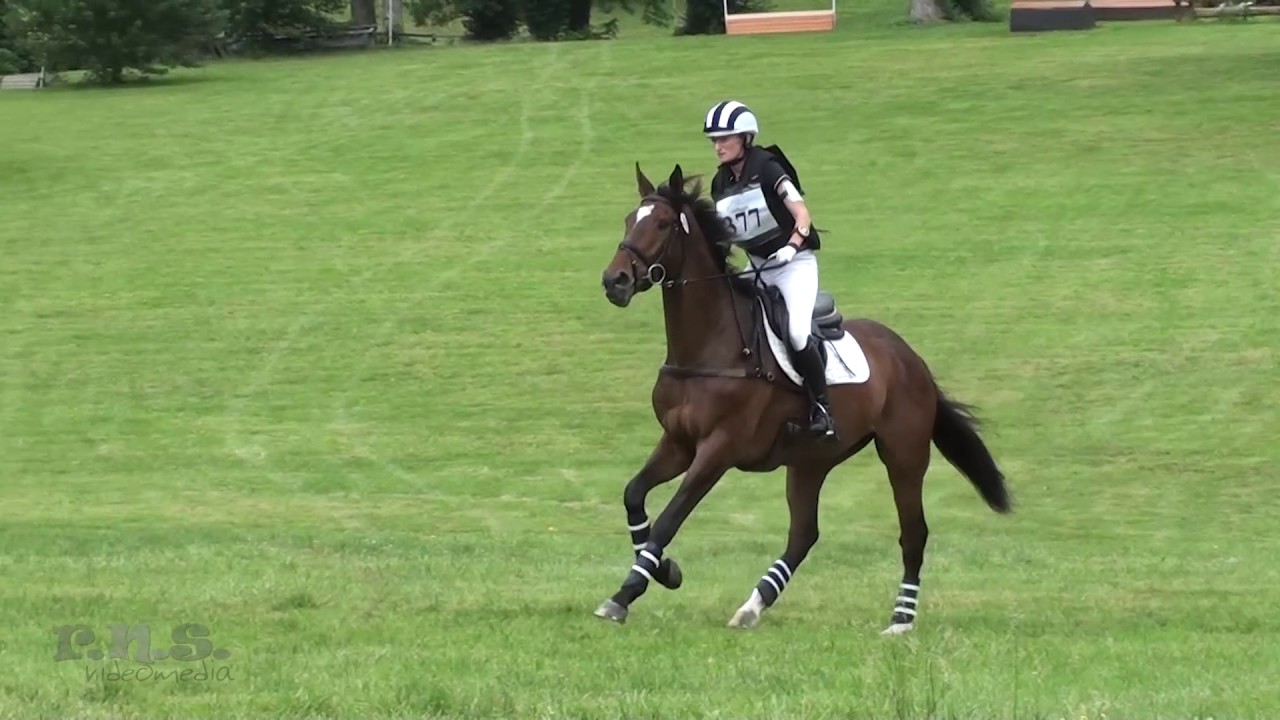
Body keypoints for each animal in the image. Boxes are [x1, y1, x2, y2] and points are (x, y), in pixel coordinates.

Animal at [593, 162, 1013, 635]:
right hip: (810, 462)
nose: (614, 281)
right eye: (630, 220)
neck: (709, 346)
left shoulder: (718, 449)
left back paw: (900, 621)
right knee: (804, 534)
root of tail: (911, 358)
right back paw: (752, 606)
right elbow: (634, 496)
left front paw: (624, 594)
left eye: (663, 224)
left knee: (913, 533)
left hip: (903, 454)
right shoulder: (678, 443)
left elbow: (669, 518)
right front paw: (665, 571)